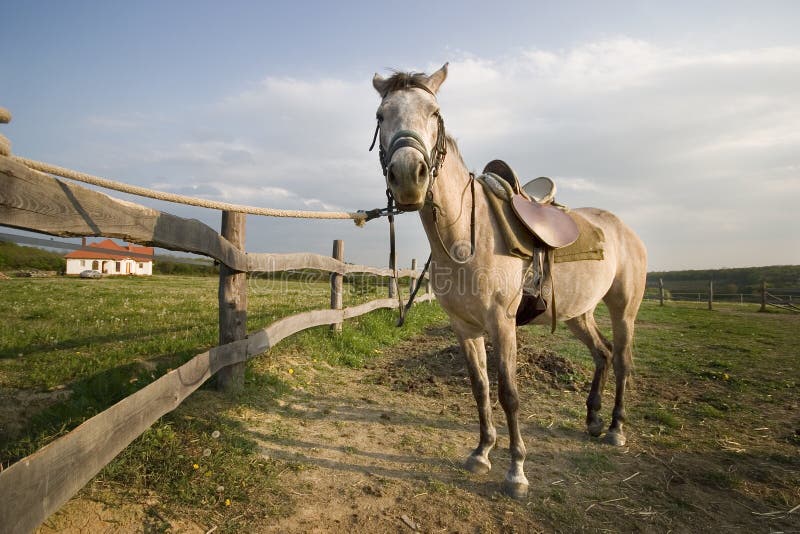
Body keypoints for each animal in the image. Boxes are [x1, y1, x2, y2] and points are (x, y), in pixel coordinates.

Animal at [370, 63, 648, 499]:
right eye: (382, 116)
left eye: (435, 112)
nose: (408, 177)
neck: (465, 234)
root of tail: (624, 229)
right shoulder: (465, 327)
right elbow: (480, 387)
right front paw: (482, 452)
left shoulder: (502, 324)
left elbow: (508, 393)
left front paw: (516, 471)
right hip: (578, 314)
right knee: (602, 354)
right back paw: (593, 419)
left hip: (624, 312)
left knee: (621, 360)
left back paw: (616, 428)